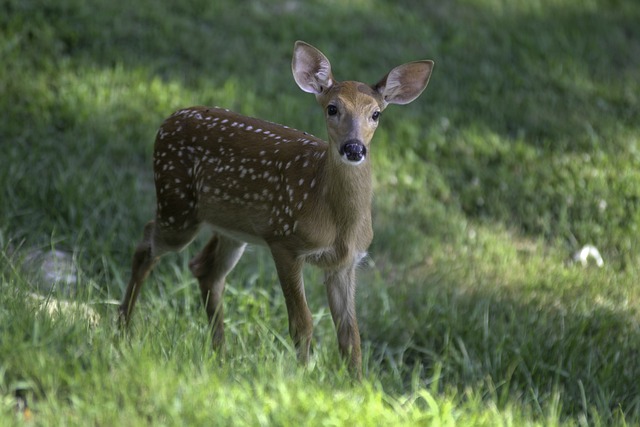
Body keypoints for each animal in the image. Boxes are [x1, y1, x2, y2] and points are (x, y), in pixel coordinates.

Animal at [120, 41, 432, 378]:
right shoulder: (284, 241)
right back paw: (122, 330)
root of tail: (169, 119)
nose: (354, 148)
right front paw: (302, 378)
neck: (334, 217)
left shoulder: (344, 264)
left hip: (232, 228)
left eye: (376, 114)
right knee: (146, 244)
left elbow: (351, 336)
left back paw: (220, 355)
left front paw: (357, 385)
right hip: (177, 204)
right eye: (332, 108)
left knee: (205, 269)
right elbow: (302, 323)